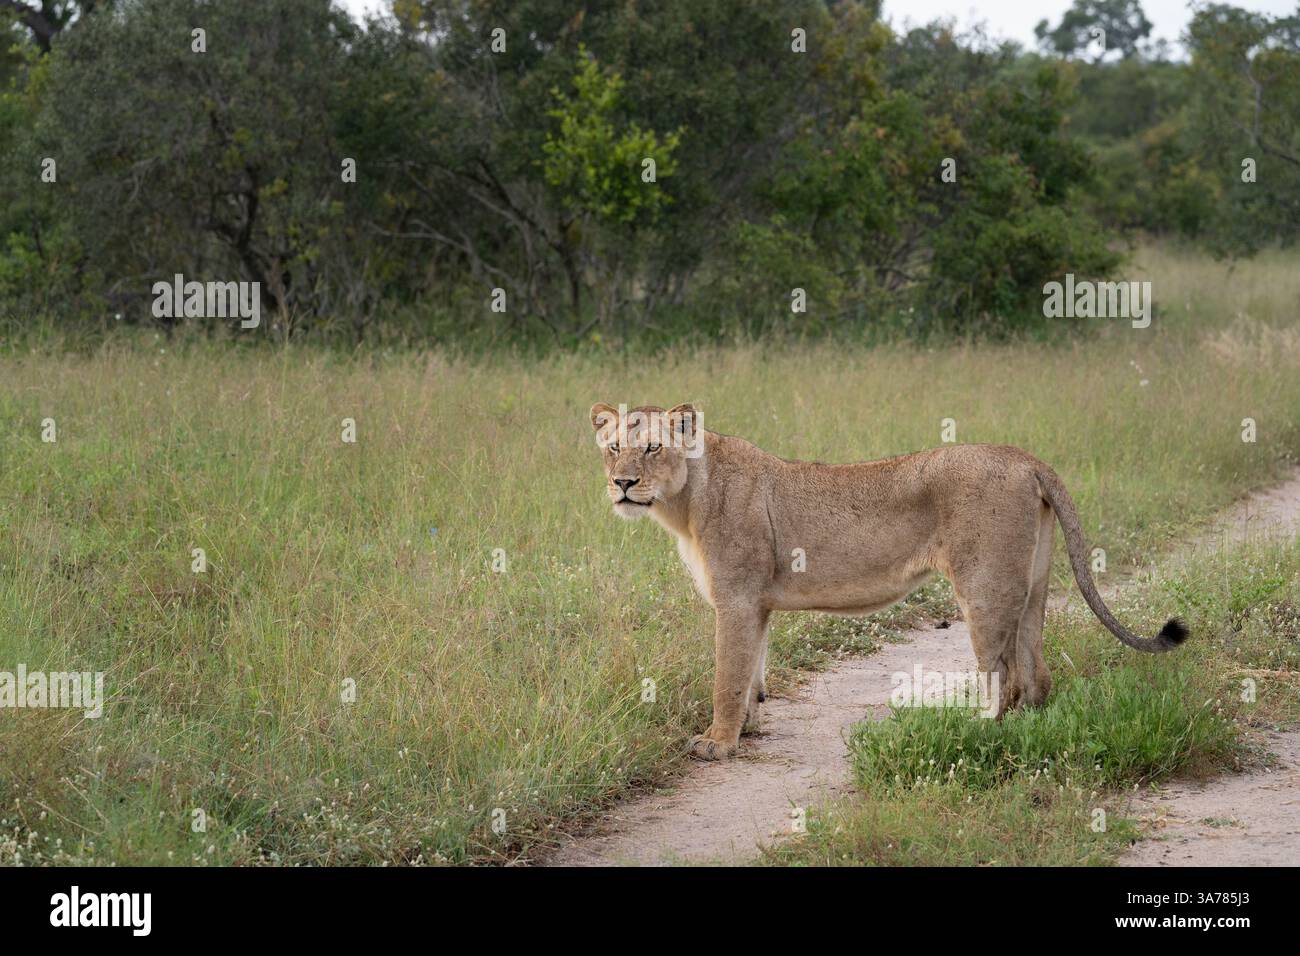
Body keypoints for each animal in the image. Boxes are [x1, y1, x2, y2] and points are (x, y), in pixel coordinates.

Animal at [589, 402, 1188, 760]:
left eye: (652, 448)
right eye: (614, 447)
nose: (623, 484)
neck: (684, 501)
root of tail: (1024, 457)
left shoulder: (735, 599)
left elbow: (727, 677)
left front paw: (717, 743)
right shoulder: (756, 604)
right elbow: (754, 672)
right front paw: (751, 728)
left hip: (984, 588)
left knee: (1005, 674)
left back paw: (977, 731)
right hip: (1033, 586)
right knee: (1037, 673)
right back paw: (1025, 730)